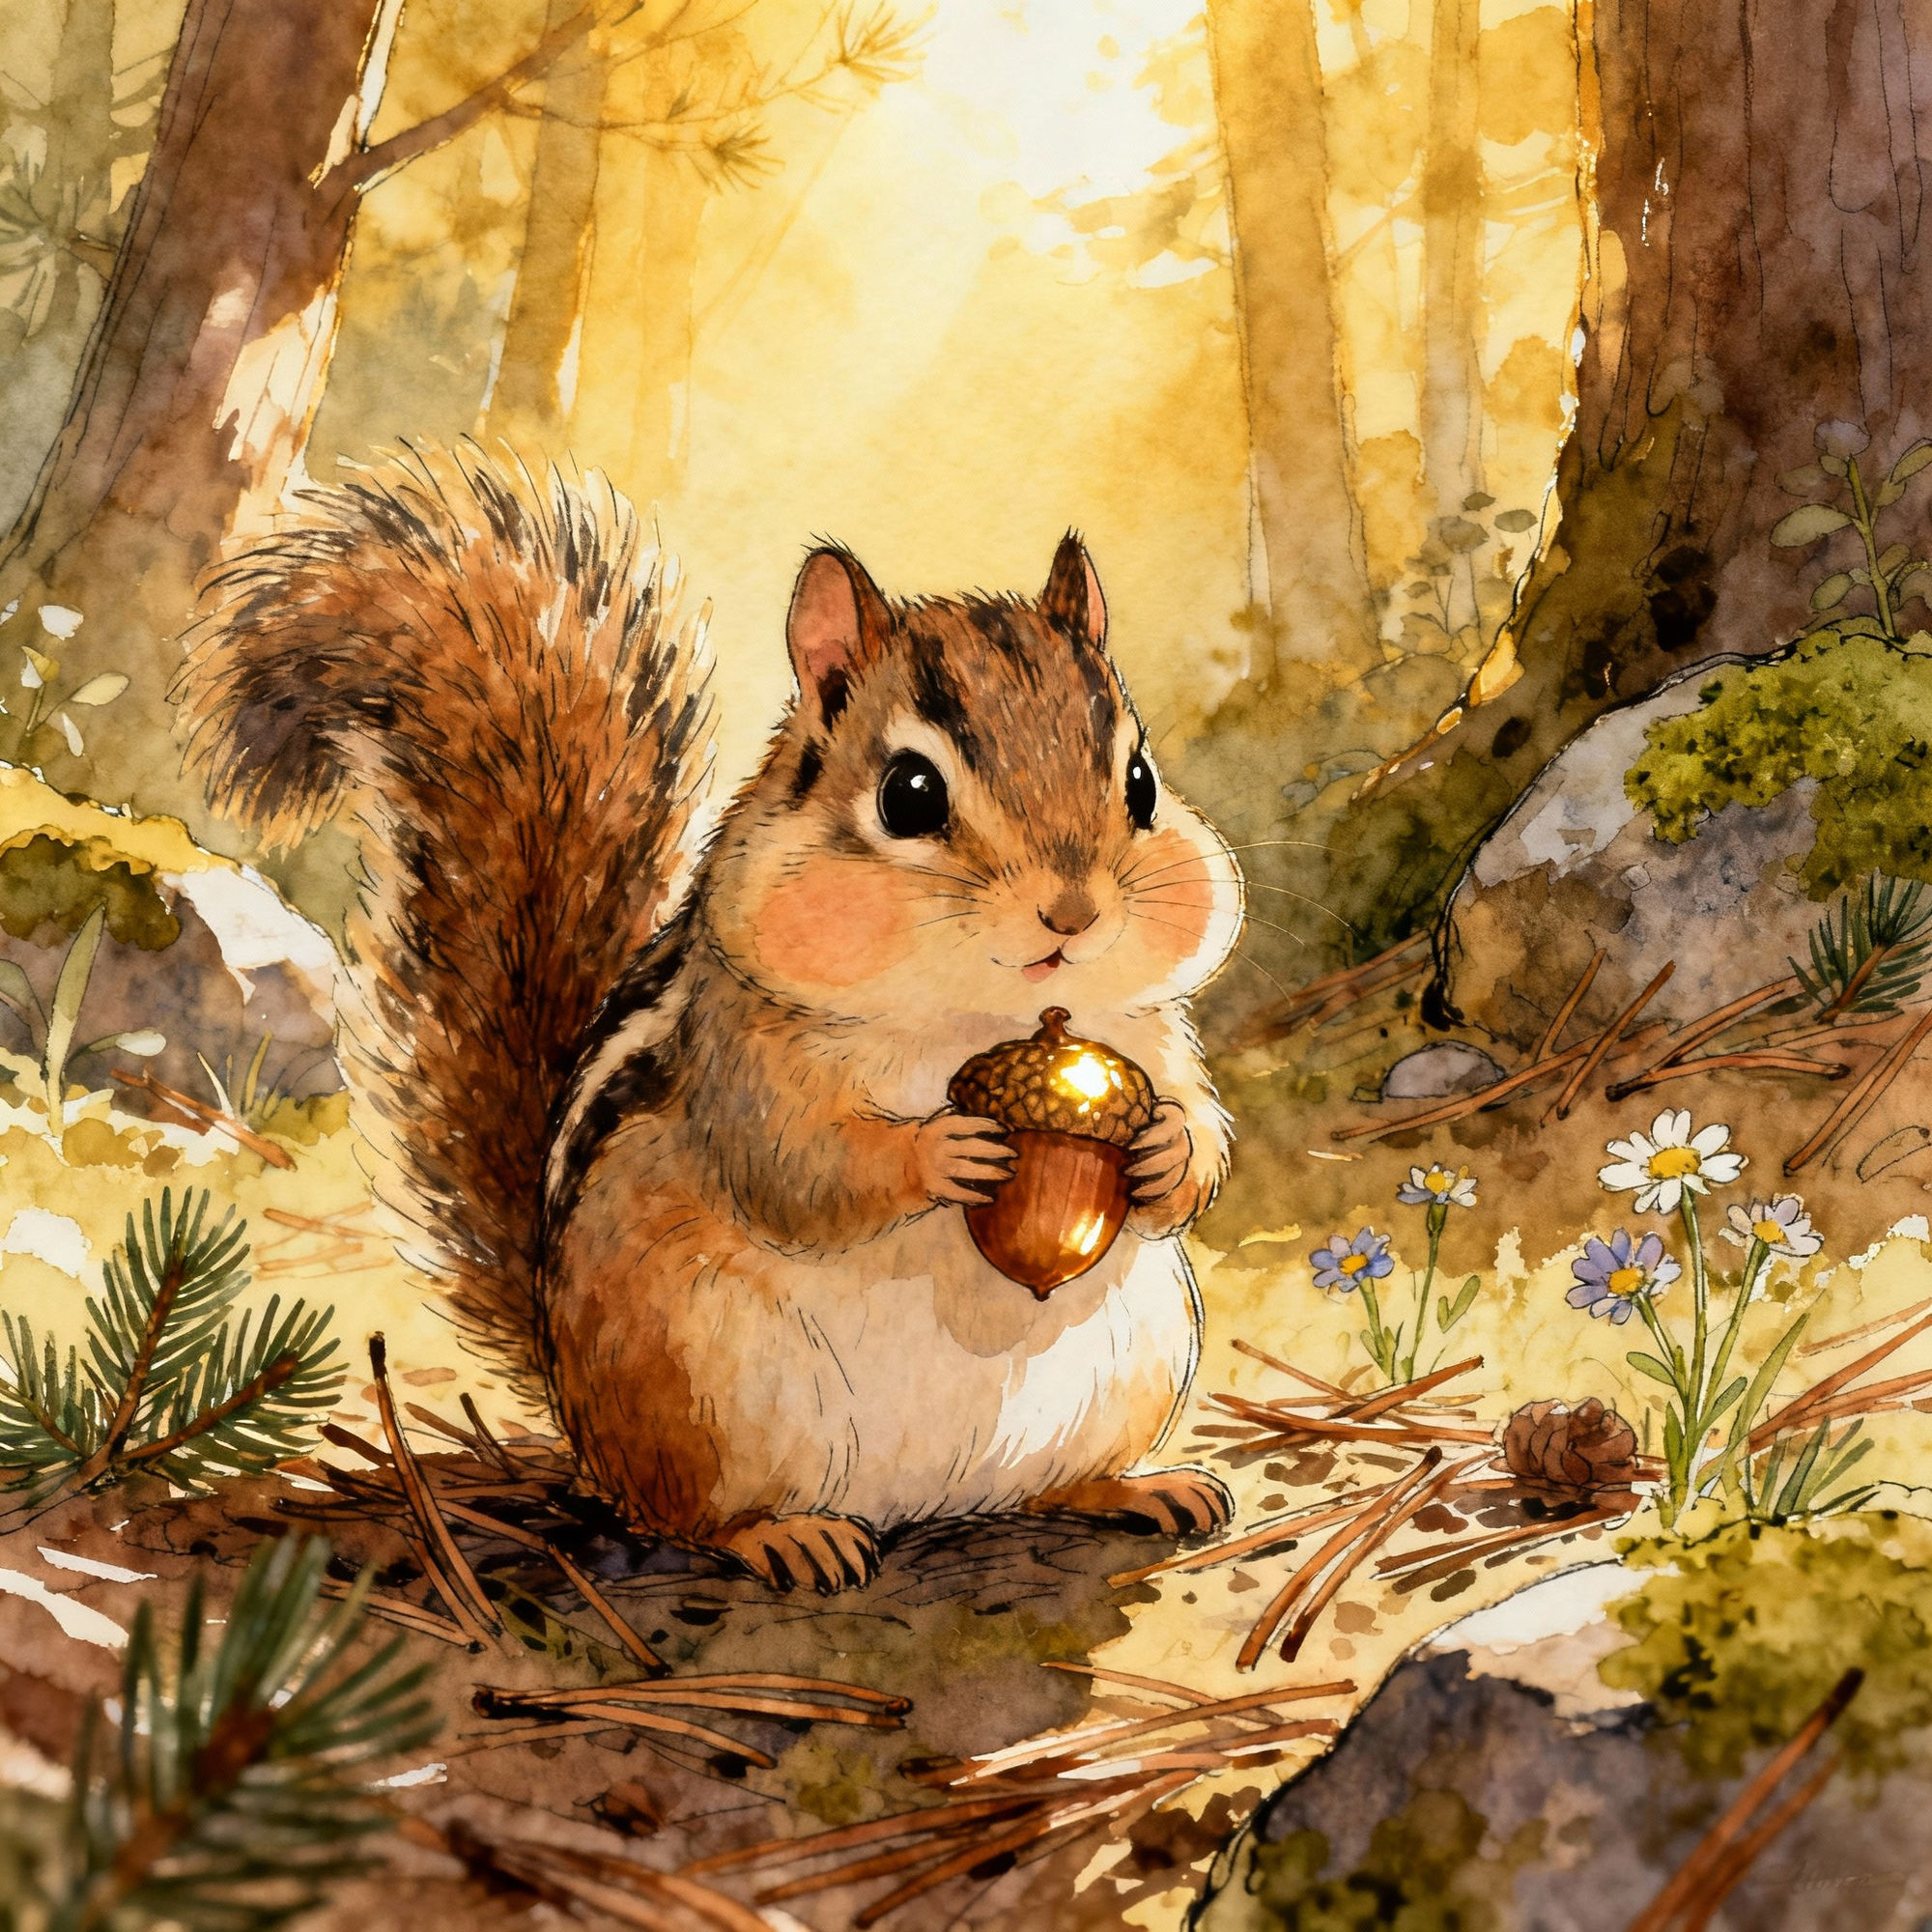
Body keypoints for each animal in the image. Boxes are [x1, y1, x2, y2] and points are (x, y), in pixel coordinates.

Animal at [179, 446, 1245, 1593]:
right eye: (909, 793)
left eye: (1140, 782)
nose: (1072, 913)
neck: (980, 1018)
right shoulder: (741, 1059)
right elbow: (795, 1169)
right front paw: (942, 1151)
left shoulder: (1150, 1034)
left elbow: (1197, 1125)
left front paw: (1166, 1152)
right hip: (696, 1383)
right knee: (685, 1514)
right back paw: (788, 1534)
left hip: (1139, 1355)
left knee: (1044, 1484)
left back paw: (1134, 1487)